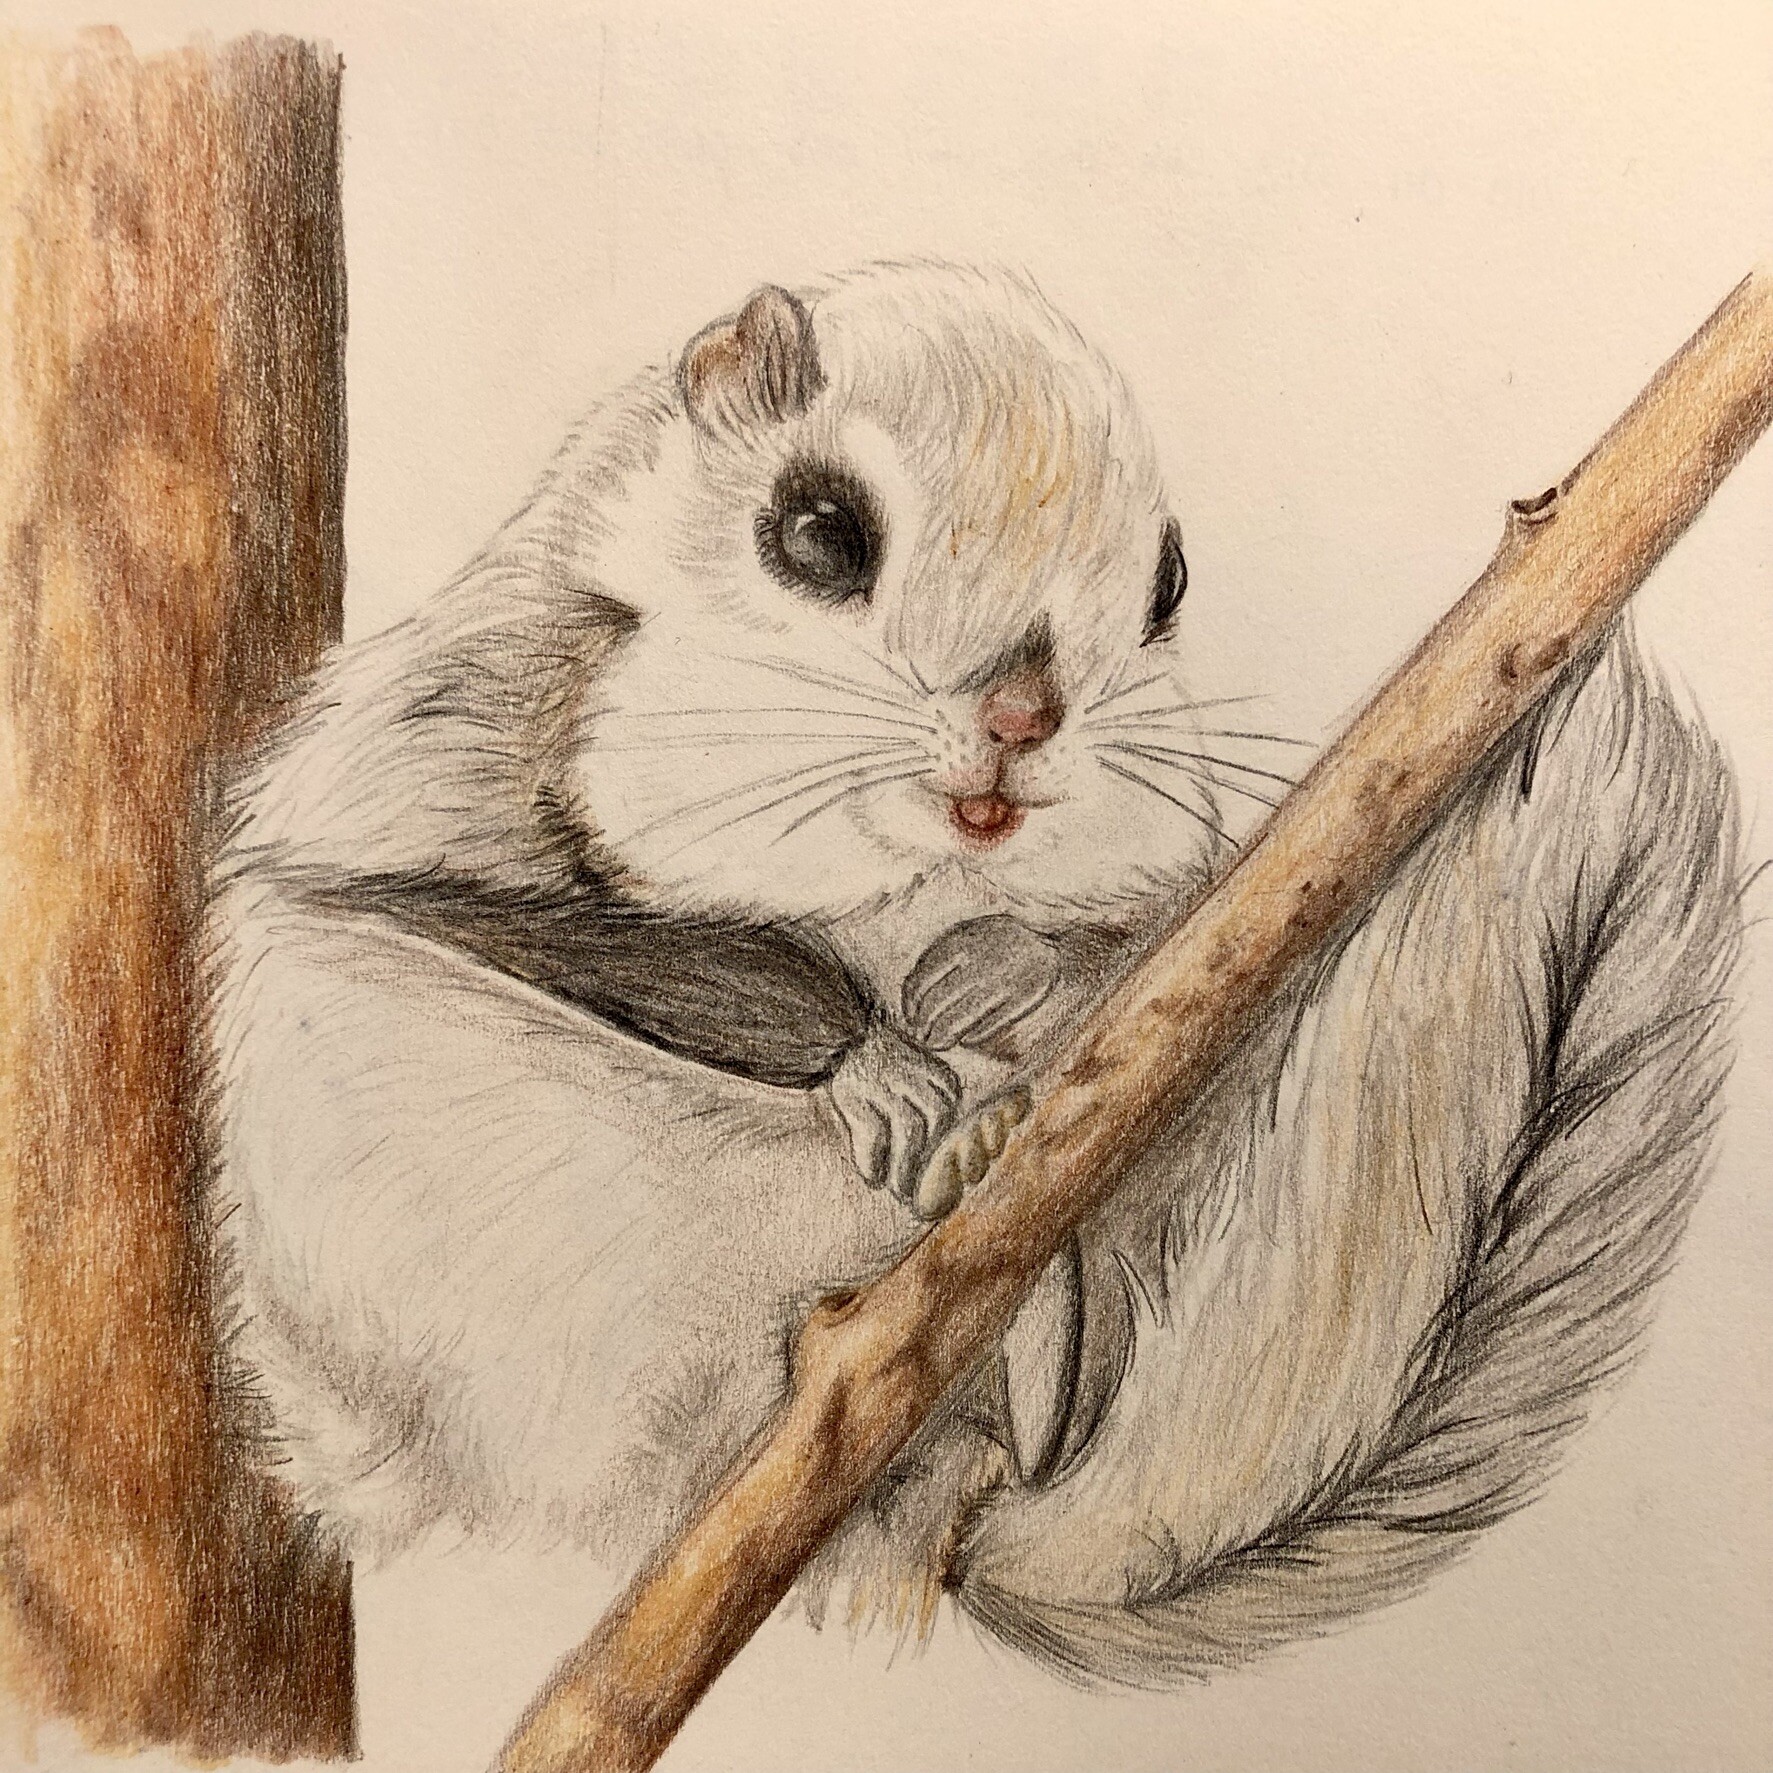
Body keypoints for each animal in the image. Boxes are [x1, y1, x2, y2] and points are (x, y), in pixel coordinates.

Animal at [210, 260, 1740, 1681]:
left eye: (1170, 581)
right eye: (818, 532)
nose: (1021, 718)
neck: (904, 882)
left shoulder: (1184, 888)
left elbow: (1126, 945)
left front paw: (998, 982)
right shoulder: (453, 758)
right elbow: (550, 926)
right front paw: (878, 1067)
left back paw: (1023, 1267)